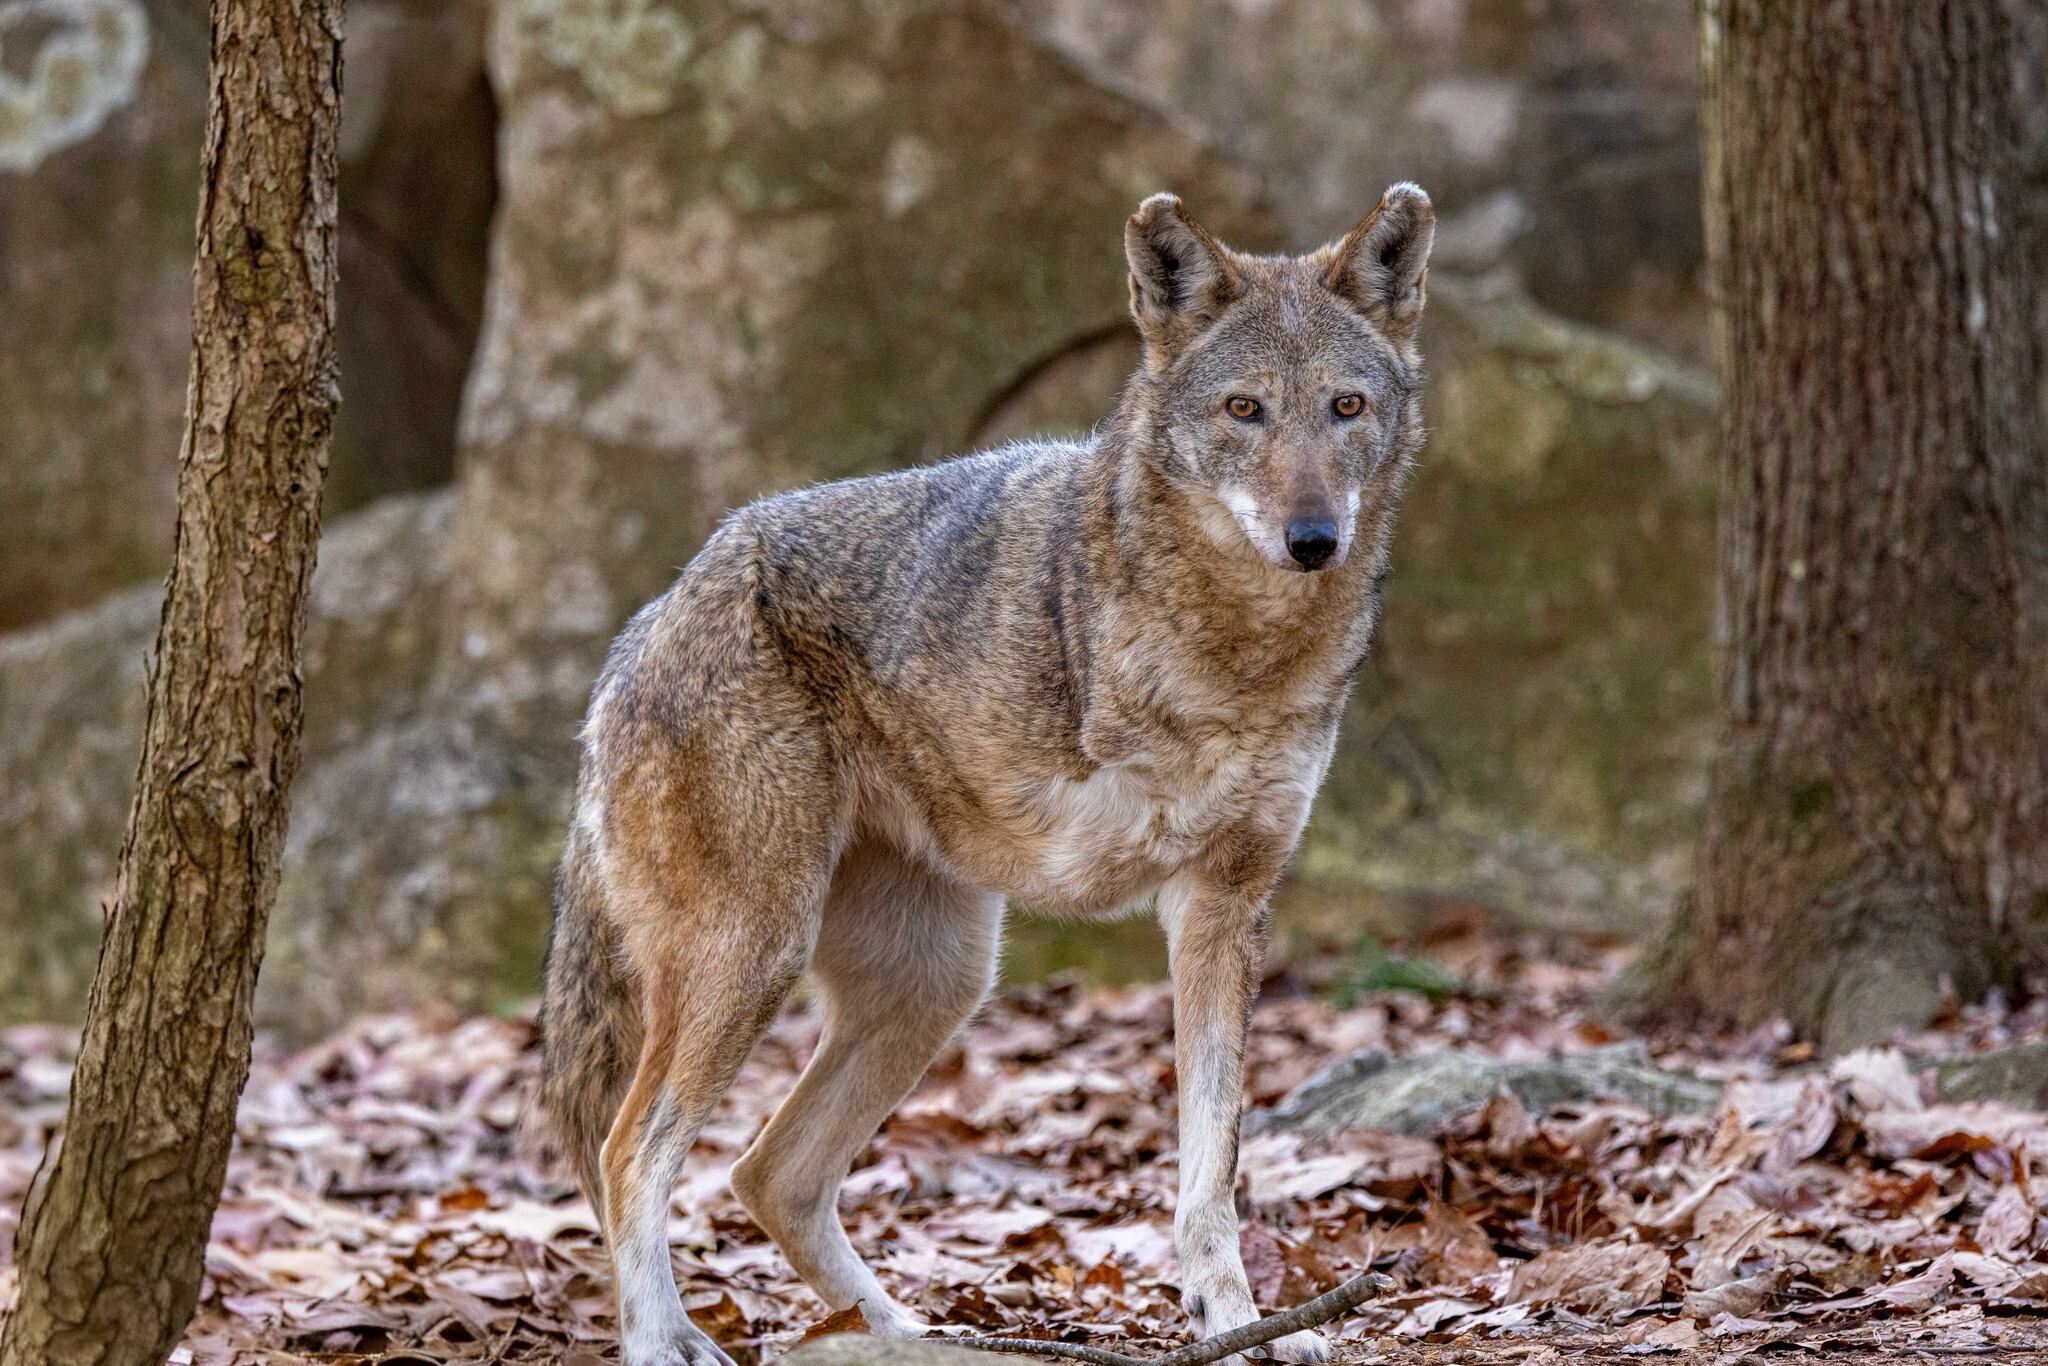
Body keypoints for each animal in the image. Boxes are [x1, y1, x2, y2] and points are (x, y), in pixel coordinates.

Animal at [534, 184, 1434, 1366]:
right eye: (1244, 410)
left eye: (1344, 406)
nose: (1313, 537)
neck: (1236, 650)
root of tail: (651, 616)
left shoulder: (1222, 906)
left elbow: (1210, 1173)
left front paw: (1239, 1324)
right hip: (756, 956)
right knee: (632, 1152)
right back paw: (666, 1341)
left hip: (937, 982)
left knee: (769, 1173)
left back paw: (895, 1331)